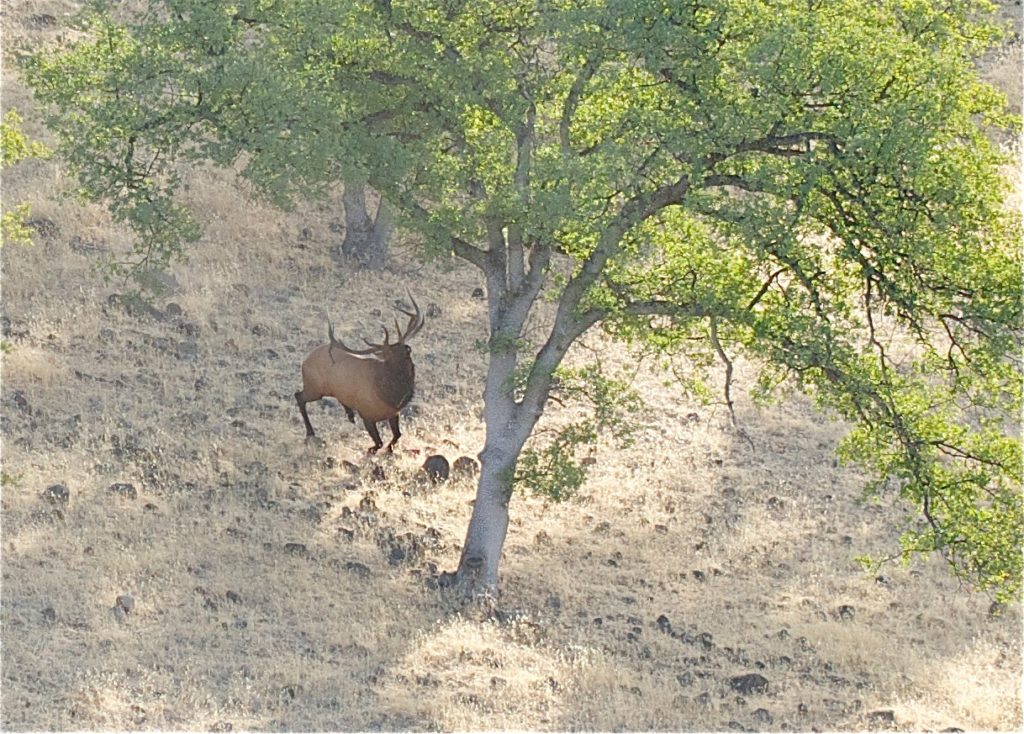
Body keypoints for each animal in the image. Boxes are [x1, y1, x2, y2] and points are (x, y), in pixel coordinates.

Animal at [295, 293, 425, 453]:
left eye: (401, 346)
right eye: (390, 353)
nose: (407, 348)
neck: (391, 397)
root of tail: (305, 360)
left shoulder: (394, 413)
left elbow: (397, 435)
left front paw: (390, 449)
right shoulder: (366, 414)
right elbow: (378, 442)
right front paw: (372, 450)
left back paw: (350, 415)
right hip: (314, 387)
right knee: (299, 396)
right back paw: (310, 432)